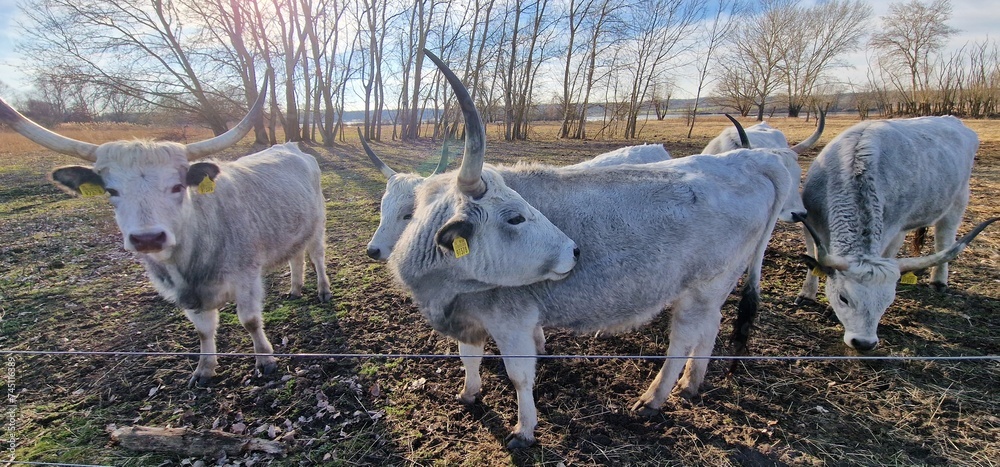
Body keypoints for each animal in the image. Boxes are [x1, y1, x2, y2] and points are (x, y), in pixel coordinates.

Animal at [0, 80, 332, 386]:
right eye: (111, 190)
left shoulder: (246, 275)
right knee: (295, 257)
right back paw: (295, 289)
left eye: (177, 186)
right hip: (293, 228)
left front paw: (265, 360)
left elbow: (249, 320)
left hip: (317, 225)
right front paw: (204, 370)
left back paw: (322, 291)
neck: (190, 262)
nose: (148, 238)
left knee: (316, 256)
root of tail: (289, 146)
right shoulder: (184, 292)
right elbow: (203, 330)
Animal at [387, 49, 792, 448]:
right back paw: (691, 384)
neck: (446, 292)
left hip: (704, 287)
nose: (575, 251)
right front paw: (469, 394)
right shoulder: (469, 320)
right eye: (515, 217)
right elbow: (468, 358)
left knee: (683, 339)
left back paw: (655, 397)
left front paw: (524, 429)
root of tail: (749, 160)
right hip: (712, 290)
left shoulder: (512, 321)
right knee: (710, 327)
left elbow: (519, 375)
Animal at [792, 115, 996, 351]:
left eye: (888, 301)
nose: (864, 343)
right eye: (843, 298)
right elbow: (813, 257)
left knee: (944, 239)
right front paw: (806, 295)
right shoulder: (811, 219)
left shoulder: (893, 227)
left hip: (958, 200)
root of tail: (953, 120)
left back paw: (938, 281)